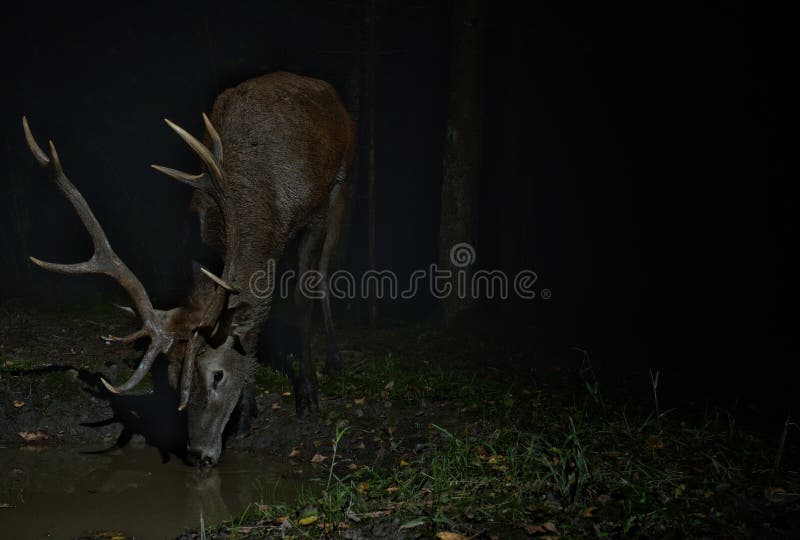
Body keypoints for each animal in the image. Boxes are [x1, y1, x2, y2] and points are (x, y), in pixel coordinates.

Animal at [23, 71, 356, 467]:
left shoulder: (311, 212)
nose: (199, 454)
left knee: (322, 273)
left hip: (340, 186)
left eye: (217, 376)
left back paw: (333, 362)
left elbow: (294, 299)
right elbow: (253, 324)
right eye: (170, 379)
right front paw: (247, 412)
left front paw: (305, 397)